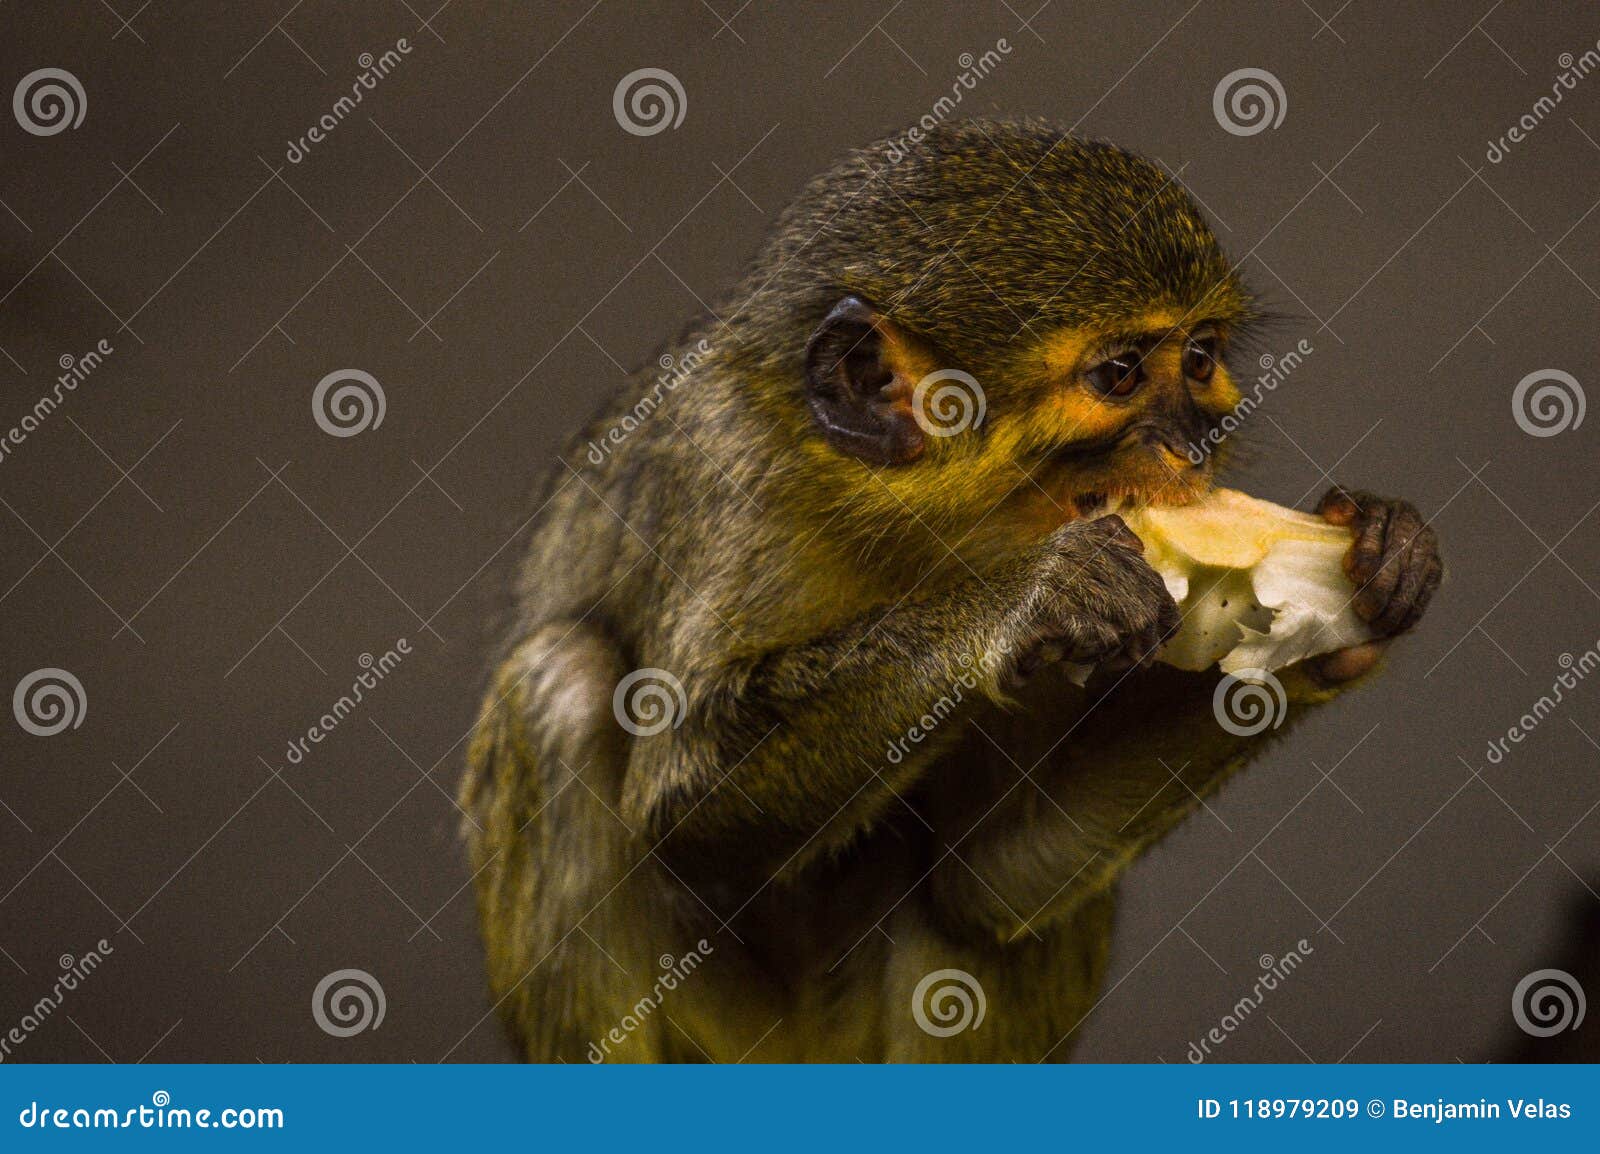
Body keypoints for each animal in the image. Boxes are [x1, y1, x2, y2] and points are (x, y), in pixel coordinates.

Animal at [459, 118, 1442, 1063]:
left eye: (1199, 360)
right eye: (1121, 375)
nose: (1193, 446)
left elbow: (984, 884)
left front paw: (1370, 571)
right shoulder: (727, 477)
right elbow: (679, 804)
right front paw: (1025, 601)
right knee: (560, 682)